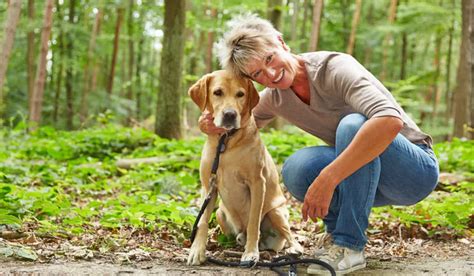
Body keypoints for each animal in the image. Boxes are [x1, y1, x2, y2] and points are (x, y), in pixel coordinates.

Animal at [186, 69, 302, 266]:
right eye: (217, 92)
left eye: (240, 94)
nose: (230, 114)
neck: (226, 141)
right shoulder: (208, 185)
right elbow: (202, 222)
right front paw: (197, 251)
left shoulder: (257, 183)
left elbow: (254, 222)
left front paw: (251, 253)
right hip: (221, 213)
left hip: (276, 212)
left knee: (289, 235)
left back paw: (292, 248)